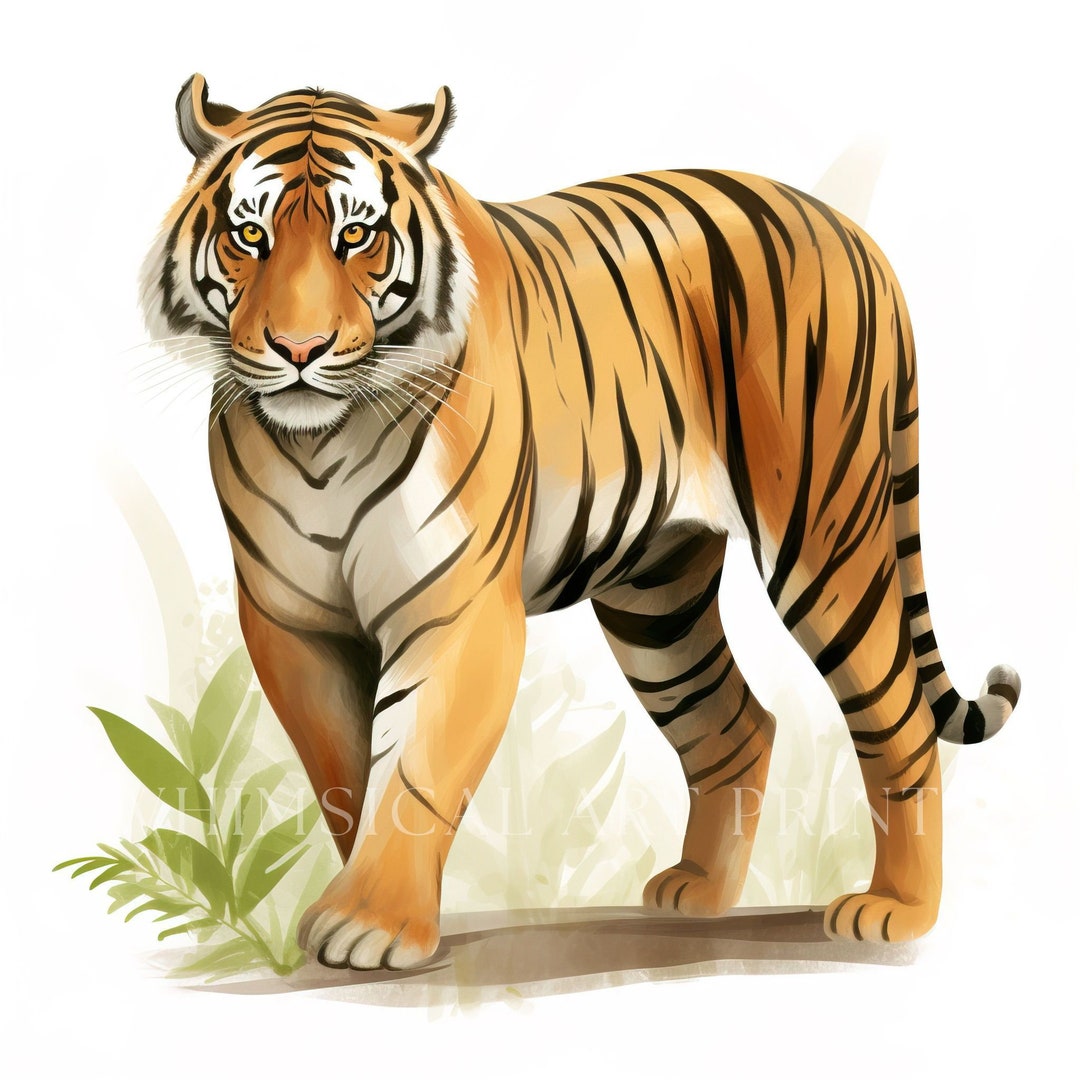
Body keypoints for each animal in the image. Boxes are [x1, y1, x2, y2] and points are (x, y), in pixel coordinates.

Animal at [141, 75, 1020, 971]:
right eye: (249, 234)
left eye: (356, 235)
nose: (299, 349)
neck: (321, 439)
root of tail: (855, 235)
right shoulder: (293, 620)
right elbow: (344, 773)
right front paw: (371, 900)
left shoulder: (456, 609)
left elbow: (414, 764)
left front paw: (373, 922)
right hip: (657, 596)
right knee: (736, 724)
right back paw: (700, 892)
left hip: (824, 538)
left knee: (900, 715)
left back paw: (897, 909)